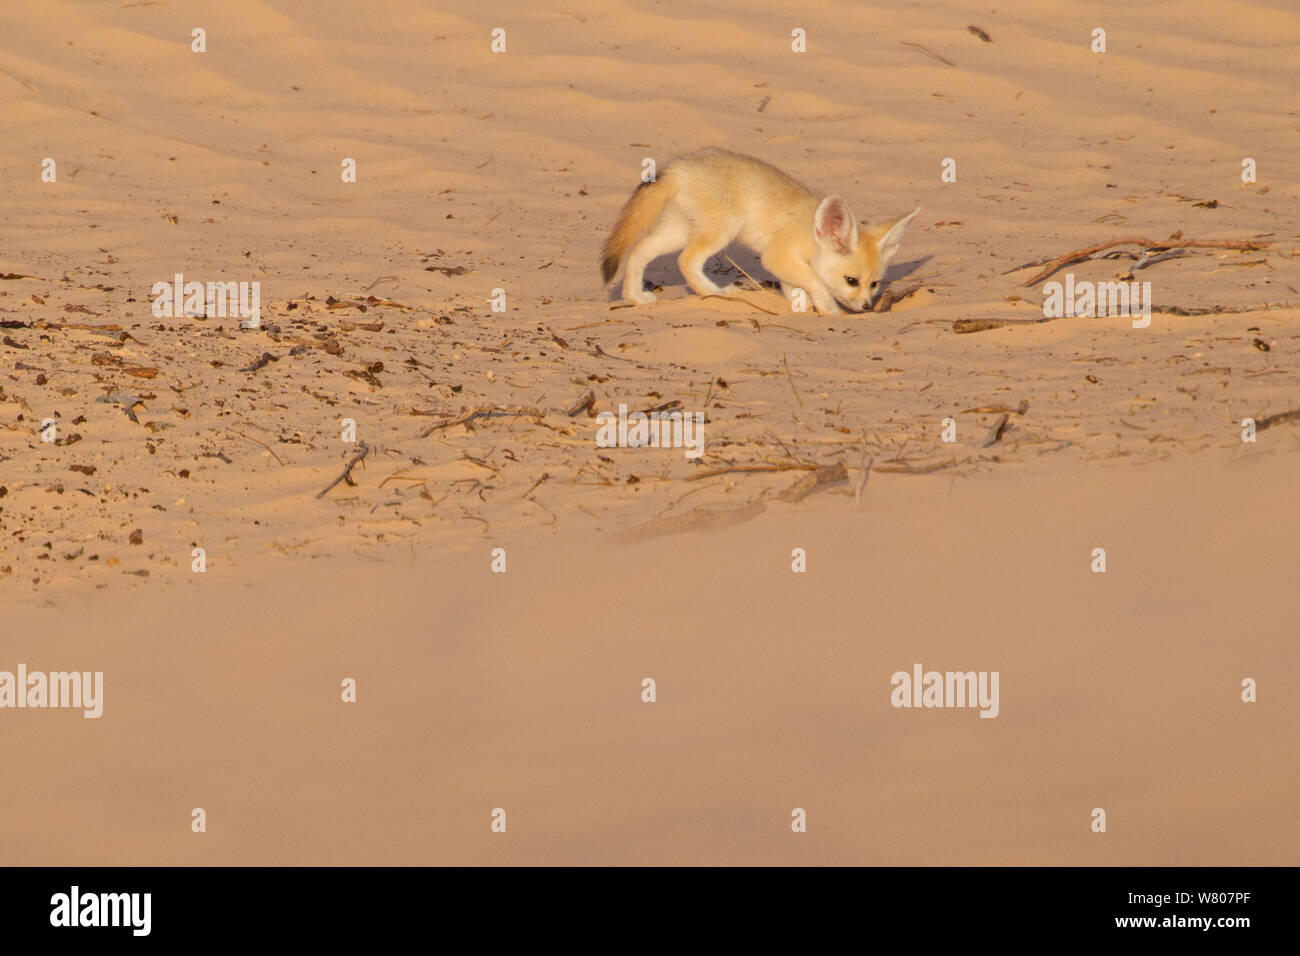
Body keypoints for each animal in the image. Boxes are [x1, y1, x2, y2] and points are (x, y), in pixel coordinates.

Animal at [600, 148, 919, 315]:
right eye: (852, 281)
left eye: (874, 284)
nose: (866, 306)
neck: (810, 231)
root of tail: (680, 166)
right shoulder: (777, 257)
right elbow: (815, 282)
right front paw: (829, 310)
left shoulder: (787, 268)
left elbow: (797, 290)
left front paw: (803, 308)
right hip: (721, 231)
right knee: (686, 261)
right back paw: (716, 293)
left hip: (677, 232)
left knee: (639, 249)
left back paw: (635, 297)